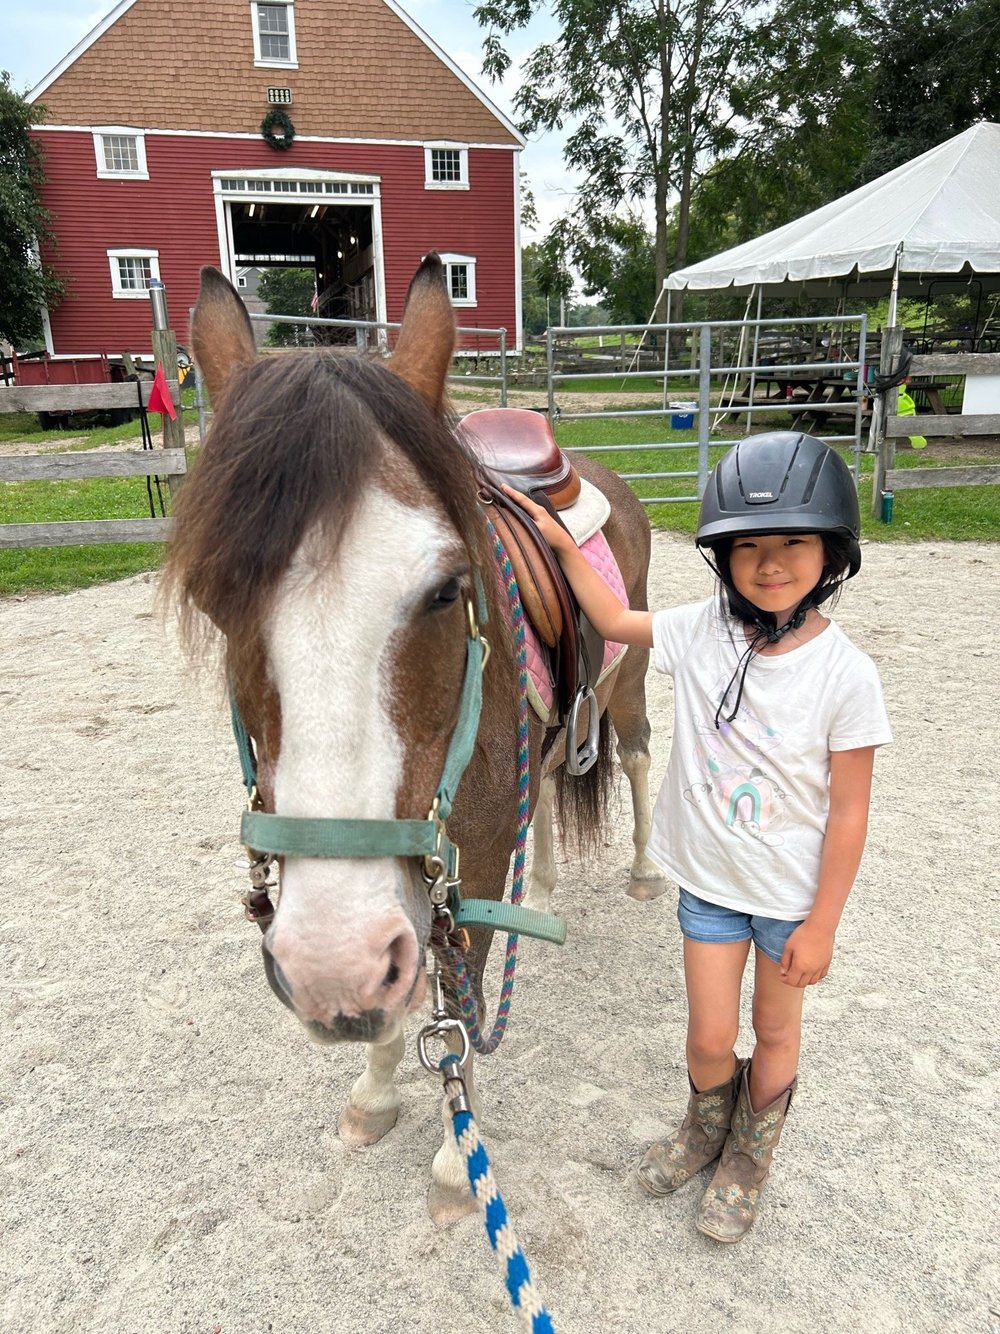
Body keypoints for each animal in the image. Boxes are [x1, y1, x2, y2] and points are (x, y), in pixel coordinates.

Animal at [164, 254, 663, 1223]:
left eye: (445, 590)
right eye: (214, 597)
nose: (329, 967)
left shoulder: (470, 853)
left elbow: (459, 997)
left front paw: (455, 1157)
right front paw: (376, 1090)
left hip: (626, 691)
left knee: (636, 757)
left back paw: (645, 872)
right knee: (550, 776)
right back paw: (548, 885)